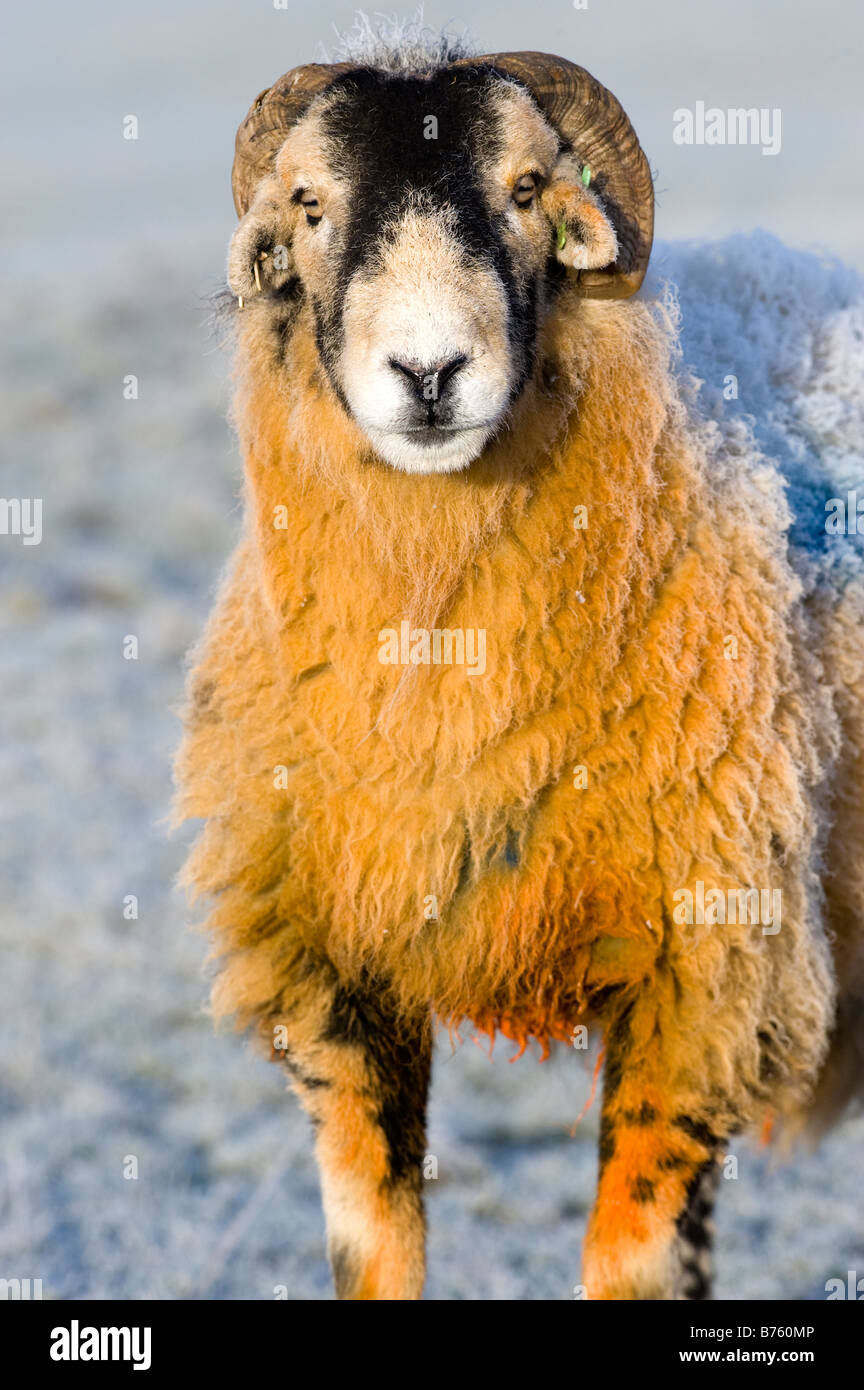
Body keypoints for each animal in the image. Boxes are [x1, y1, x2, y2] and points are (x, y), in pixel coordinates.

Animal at [173, 32, 864, 1301]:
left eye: (529, 188)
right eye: (309, 203)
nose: (428, 370)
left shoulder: (705, 980)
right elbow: (375, 1253)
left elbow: (633, 1262)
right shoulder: (340, 975)